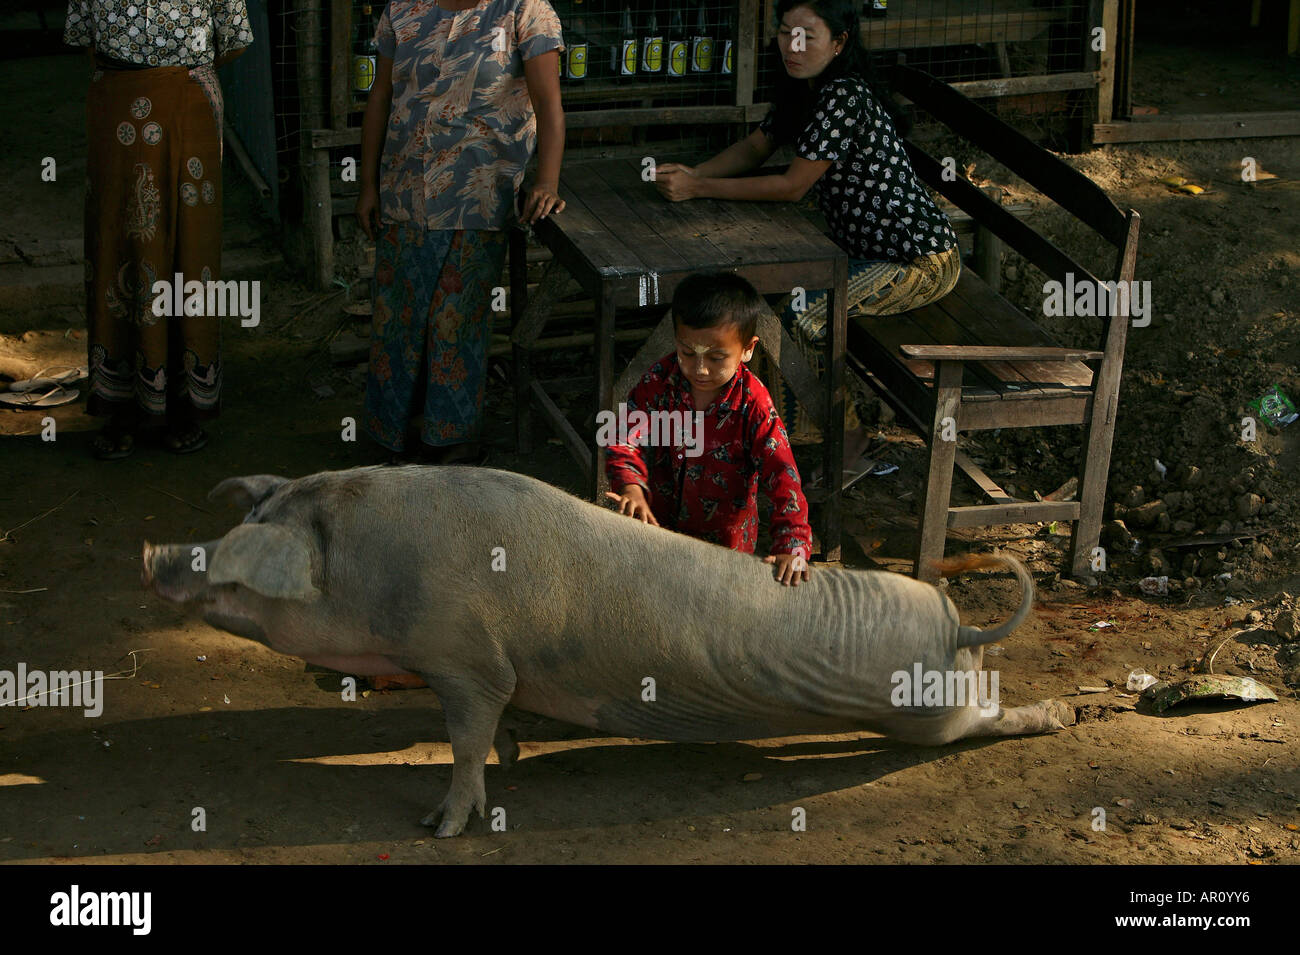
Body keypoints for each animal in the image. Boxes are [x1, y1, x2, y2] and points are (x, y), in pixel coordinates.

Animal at [143, 465, 1075, 837]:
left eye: (238, 562)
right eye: (241, 521)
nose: (153, 555)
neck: (379, 569)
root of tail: (961, 625)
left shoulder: (467, 660)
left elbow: (466, 740)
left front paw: (441, 825)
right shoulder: (495, 666)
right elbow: (499, 723)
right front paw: (518, 752)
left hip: (931, 716)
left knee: (981, 722)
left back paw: (1064, 714)